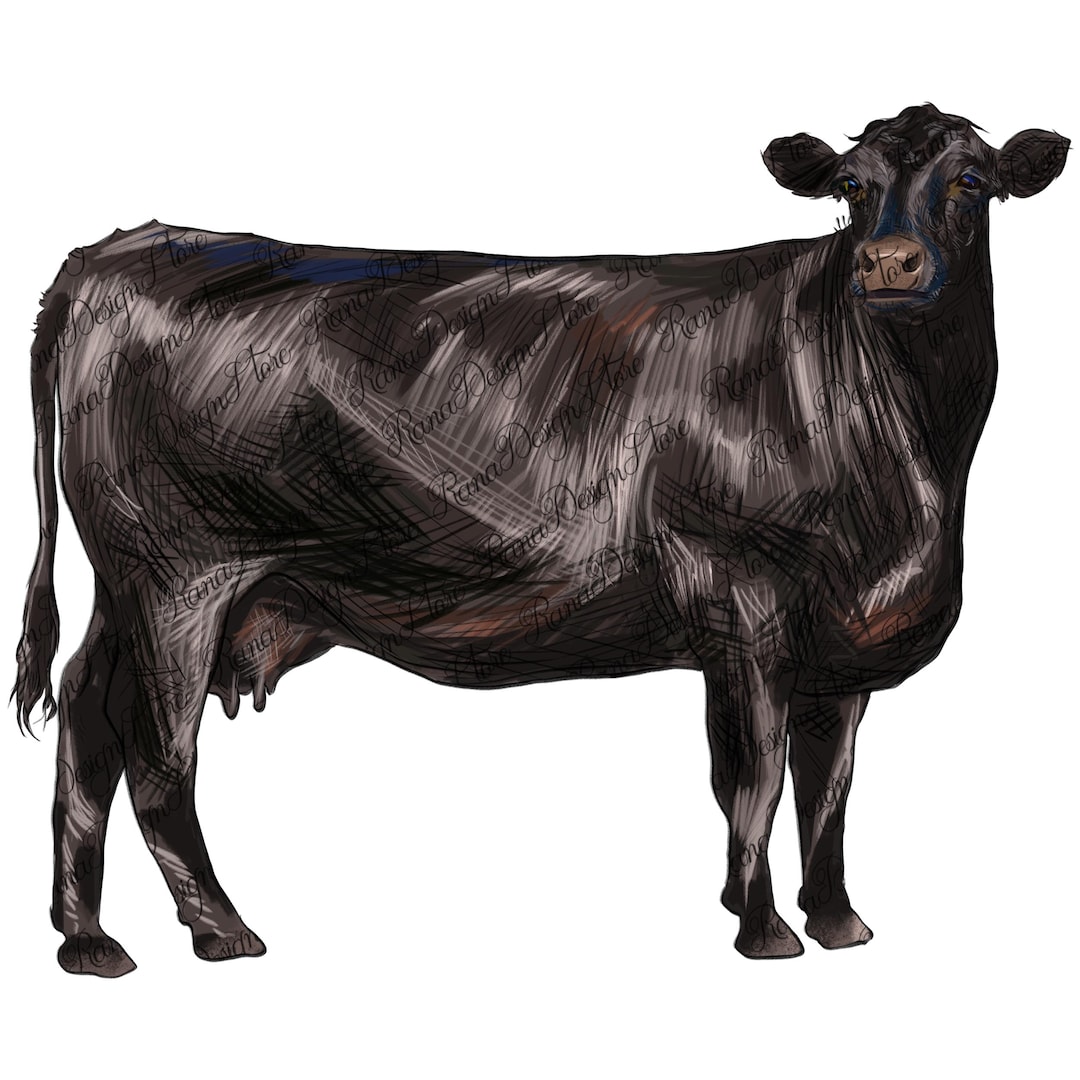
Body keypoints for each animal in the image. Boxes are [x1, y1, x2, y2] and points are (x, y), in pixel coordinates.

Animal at [14, 104, 1068, 975]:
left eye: (971, 182)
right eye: (851, 187)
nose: (888, 262)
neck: (909, 464)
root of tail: (118, 252)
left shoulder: (843, 643)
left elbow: (830, 788)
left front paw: (841, 922)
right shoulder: (747, 609)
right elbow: (757, 778)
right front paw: (764, 927)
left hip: (128, 589)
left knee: (86, 718)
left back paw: (88, 941)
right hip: (178, 579)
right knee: (159, 758)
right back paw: (221, 930)